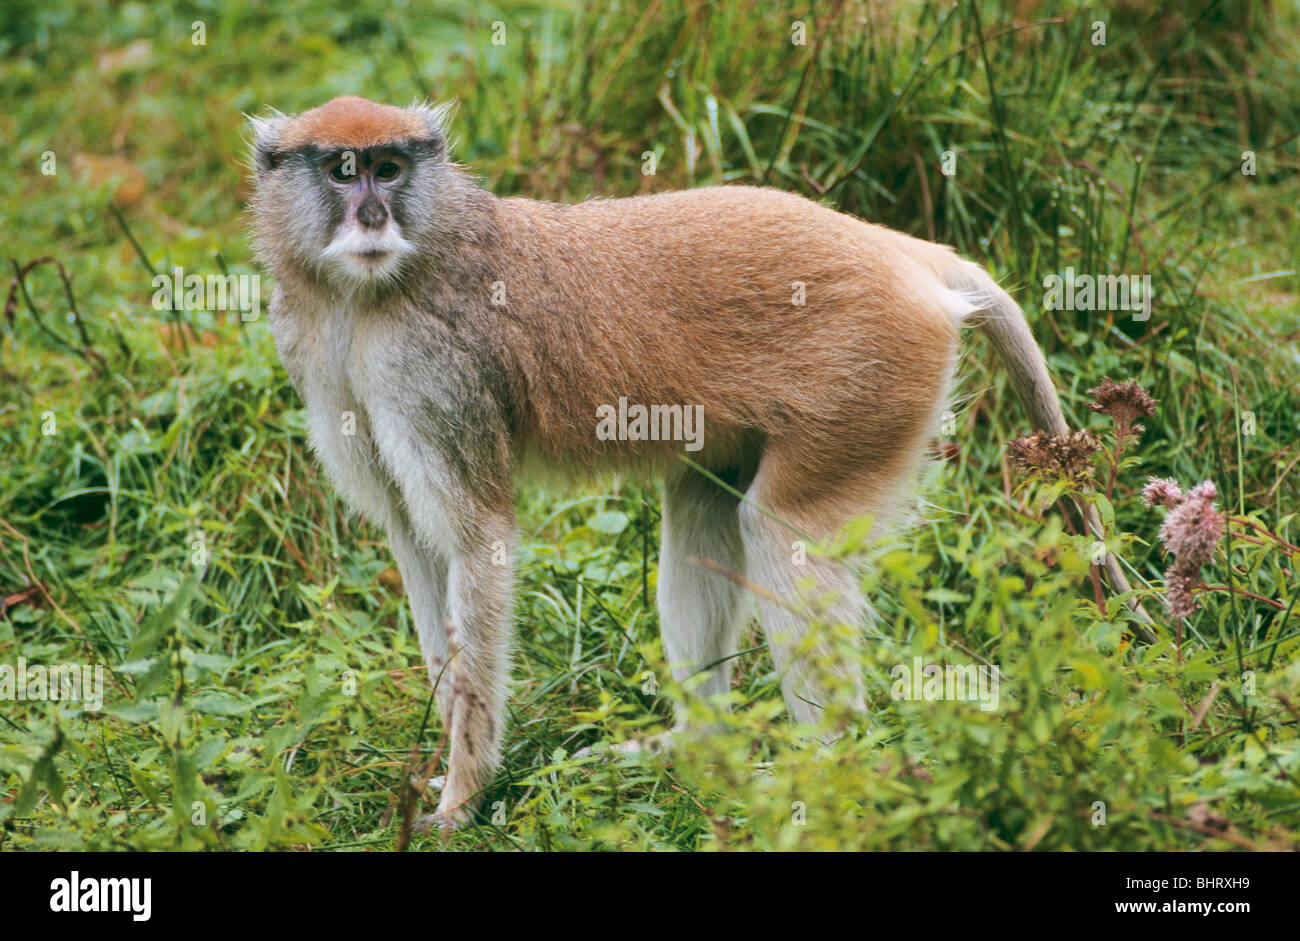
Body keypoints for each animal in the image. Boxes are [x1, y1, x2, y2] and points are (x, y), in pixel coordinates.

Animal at [248, 96, 1138, 827]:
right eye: (344, 169)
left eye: (391, 168)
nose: (372, 215)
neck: (383, 282)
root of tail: (906, 254)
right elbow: (415, 542)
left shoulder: (433, 372)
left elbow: (477, 540)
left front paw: (462, 795)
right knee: (705, 510)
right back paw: (697, 747)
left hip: (871, 384)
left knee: (780, 532)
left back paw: (826, 781)